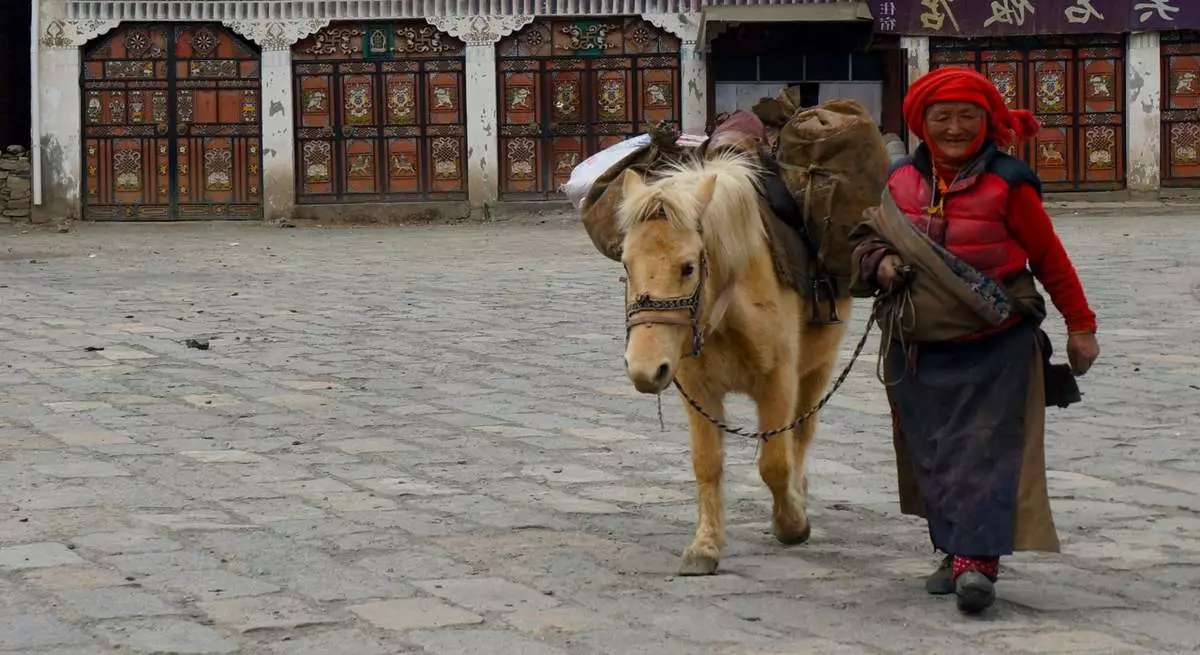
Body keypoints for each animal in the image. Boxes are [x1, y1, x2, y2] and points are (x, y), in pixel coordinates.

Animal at [619, 147, 854, 571]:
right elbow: (706, 463)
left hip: (819, 366)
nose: (644, 370)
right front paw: (706, 545)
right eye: (626, 264)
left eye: (688, 267)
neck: (726, 309)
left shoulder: (779, 382)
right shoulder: (698, 390)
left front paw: (791, 523)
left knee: (802, 432)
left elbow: (775, 464)